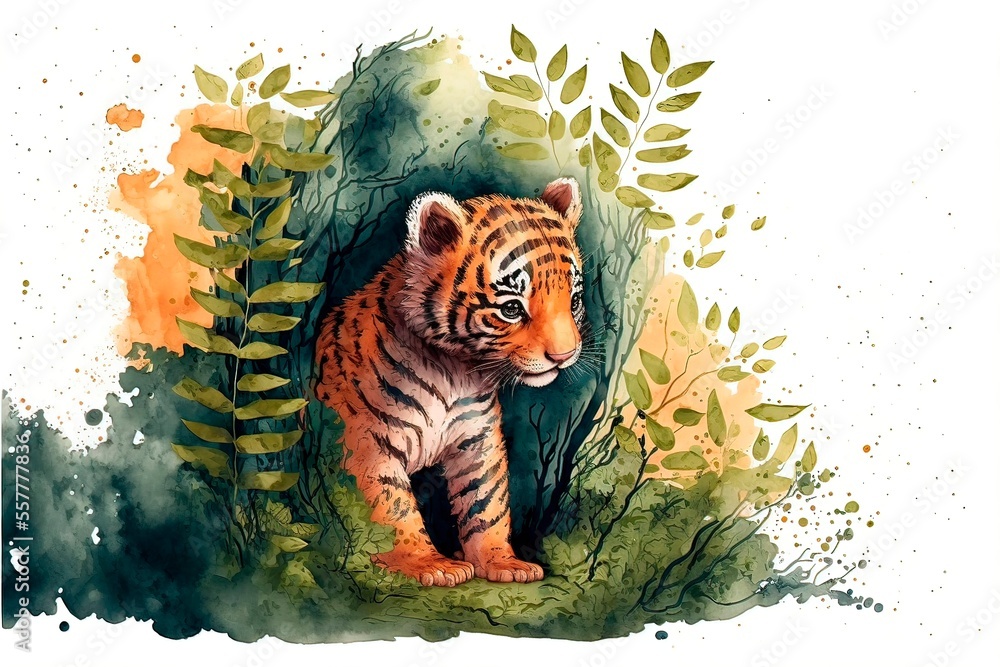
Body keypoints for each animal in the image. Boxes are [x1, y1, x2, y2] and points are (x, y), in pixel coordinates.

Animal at [314, 177, 586, 587]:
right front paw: (429, 564)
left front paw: (502, 562)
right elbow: (394, 506)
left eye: (574, 300)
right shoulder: (368, 441)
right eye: (511, 308)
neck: (455, 371)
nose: (565, 355)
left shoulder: (478, 439)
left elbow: (486, 503)